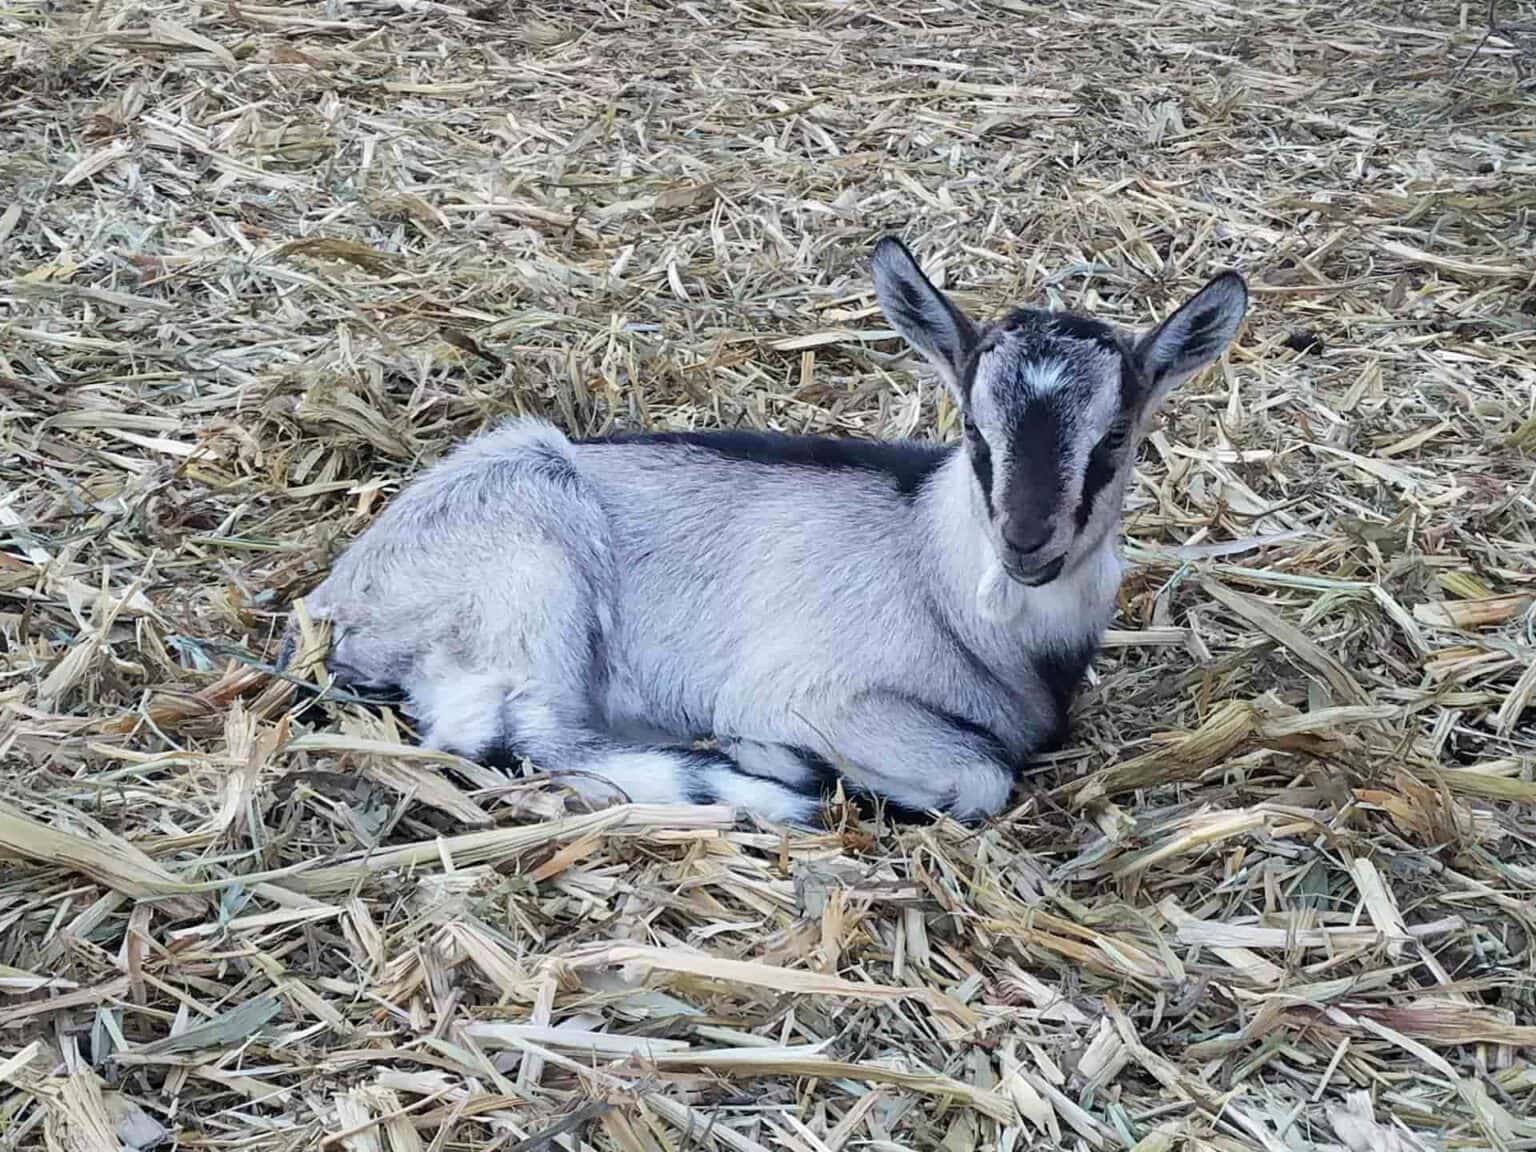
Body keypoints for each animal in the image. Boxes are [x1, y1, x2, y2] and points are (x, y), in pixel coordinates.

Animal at [284, 238, 1247, 824]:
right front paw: (788, 761)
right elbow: (980, 775)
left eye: (1115, 440)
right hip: (530, 553)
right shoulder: (805, 692)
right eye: (976, 434)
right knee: (513, 733)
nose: (1025, 542)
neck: (931, 569)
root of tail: (334, 605)